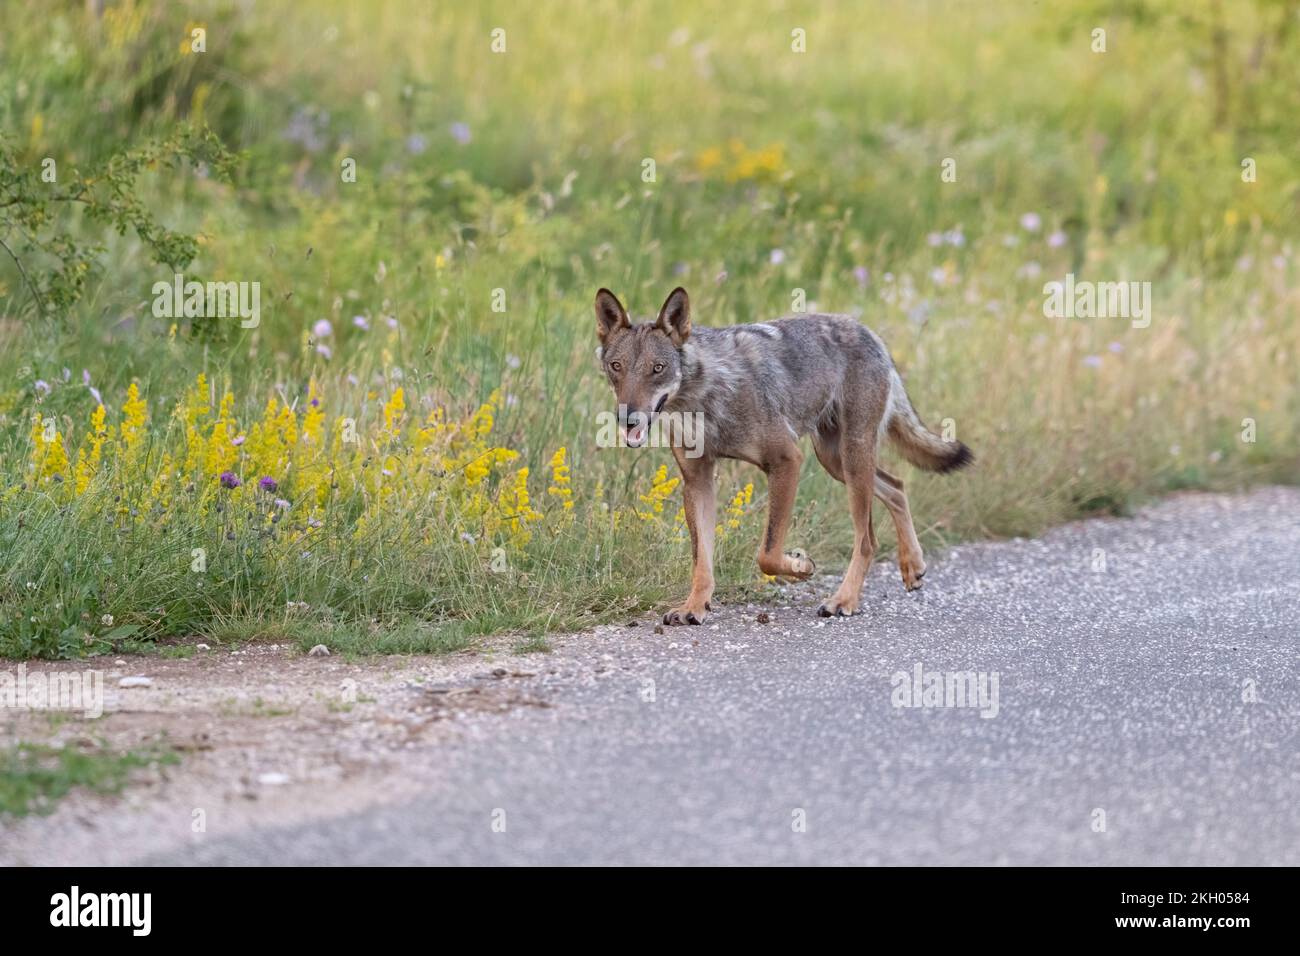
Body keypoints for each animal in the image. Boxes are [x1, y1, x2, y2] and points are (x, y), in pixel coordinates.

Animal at [595, 286, 973, 625]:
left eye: (657, 368)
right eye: (617, 366)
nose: (627, 419)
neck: (706, 395)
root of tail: (869, 332)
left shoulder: (786, 461)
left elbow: (767, 554)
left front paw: (801, 566)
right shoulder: (697, 480)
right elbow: (702, 561)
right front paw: (694, 607)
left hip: (851, 460)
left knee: (868, 539)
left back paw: (844, 600)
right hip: (836, 463)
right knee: (896, 486)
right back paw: (913, 567)